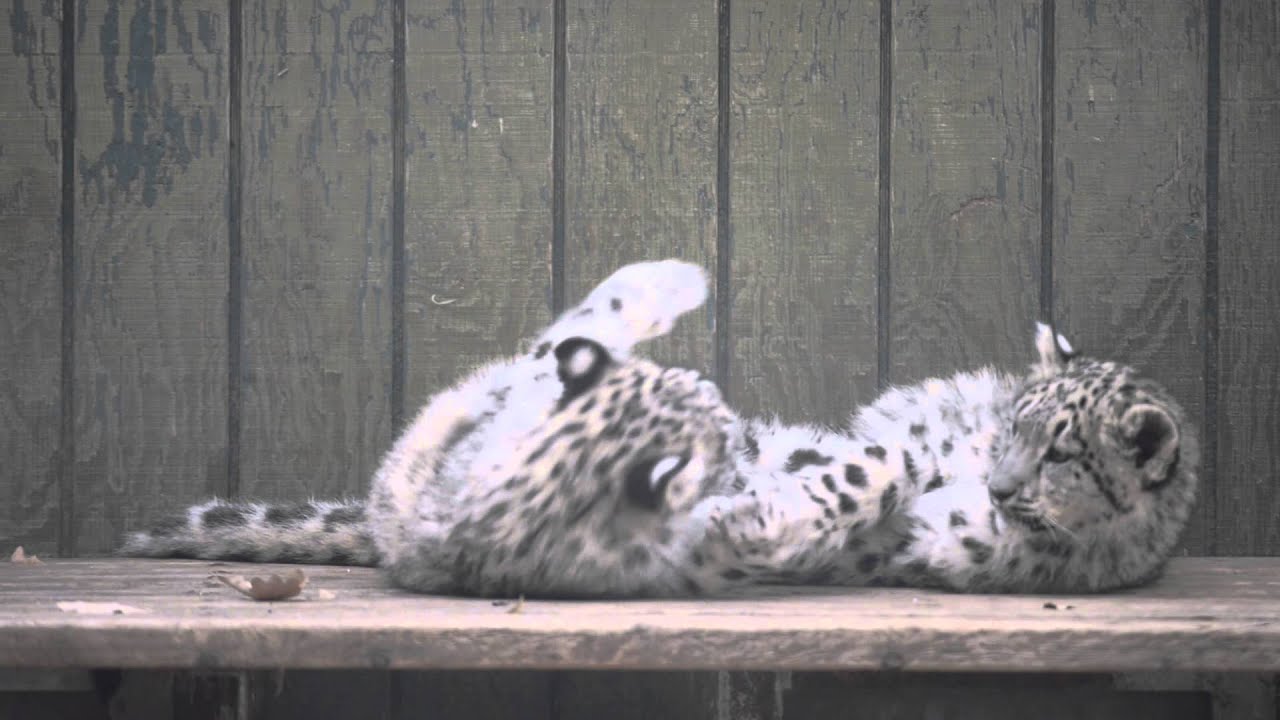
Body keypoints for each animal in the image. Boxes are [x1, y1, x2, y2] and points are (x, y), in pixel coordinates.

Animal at [121, 259, 1199, 598]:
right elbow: (869, 464)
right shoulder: (906, 447)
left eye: (1063, 453)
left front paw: (753, 517)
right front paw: (772, 503)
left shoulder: (948, 540)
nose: (1006, 482)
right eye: (1013, 424)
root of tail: (403, 526)